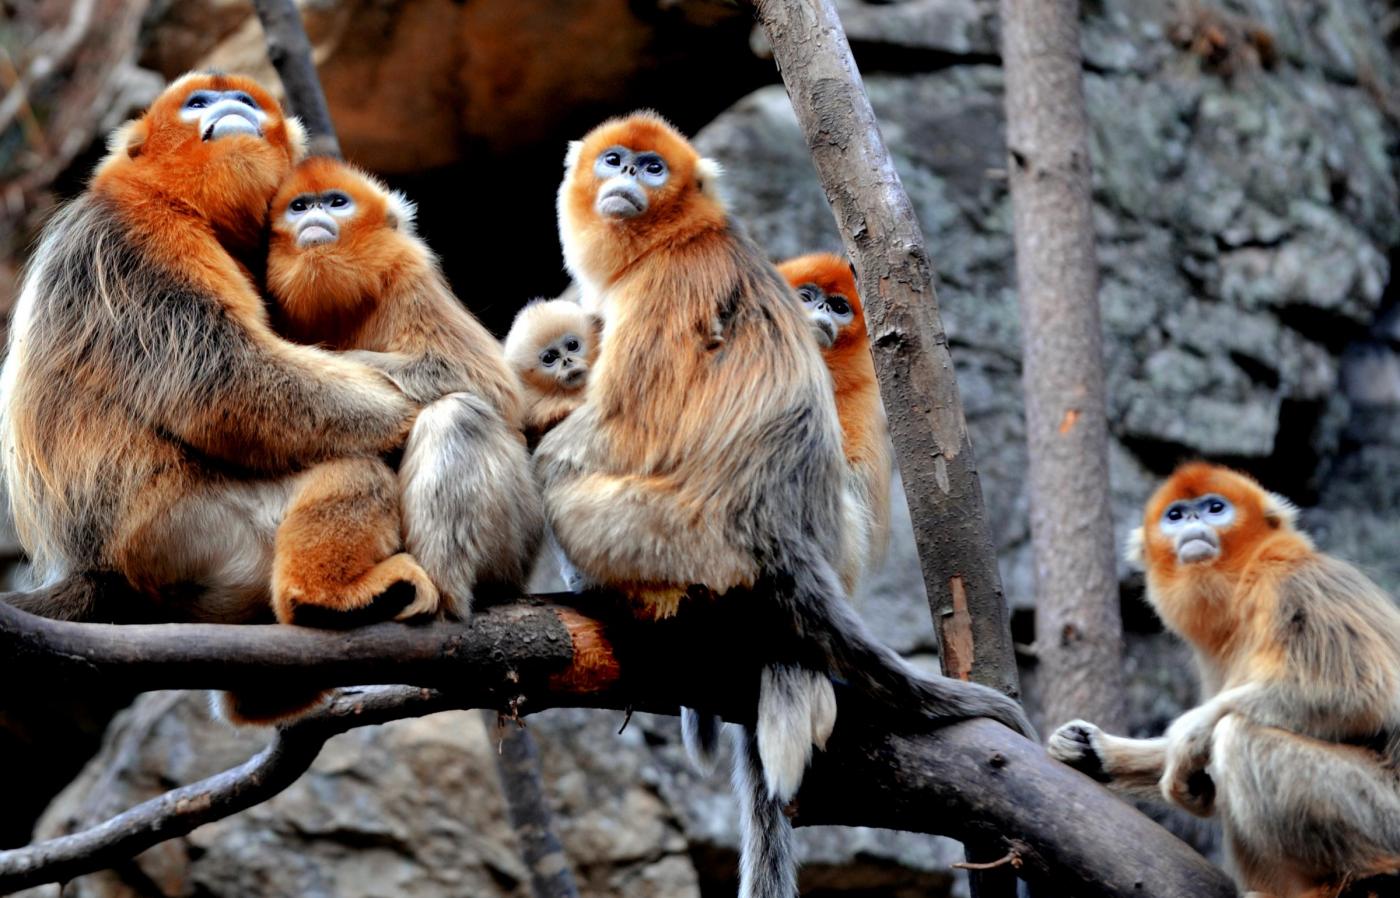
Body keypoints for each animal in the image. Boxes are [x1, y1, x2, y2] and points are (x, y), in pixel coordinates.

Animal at [0, 73, 436, 721]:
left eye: (246, 101)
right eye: (198, 103)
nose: (231, 107)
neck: (179, 204)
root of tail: (93, 564)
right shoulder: (136, 237)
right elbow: (226, 380)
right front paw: (420, 410)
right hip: (175, 524)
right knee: (352, 470)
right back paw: (335, 597)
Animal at [265, 157, 544, 615]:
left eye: (336, 202)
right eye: (300, 205)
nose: (314, 214)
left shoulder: (409, 275)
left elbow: (490, 384)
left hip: (517, 538)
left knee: (456, 414)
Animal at [1047, 462, 1400, 898]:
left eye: (1215, 508)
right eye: (1175, 515)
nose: (1193, 521)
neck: (1246, 580)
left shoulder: (1294, 581)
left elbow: (1364, 691)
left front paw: (1185, 739)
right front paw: (1096, 751)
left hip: (1383, 816)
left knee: (1237, 736)